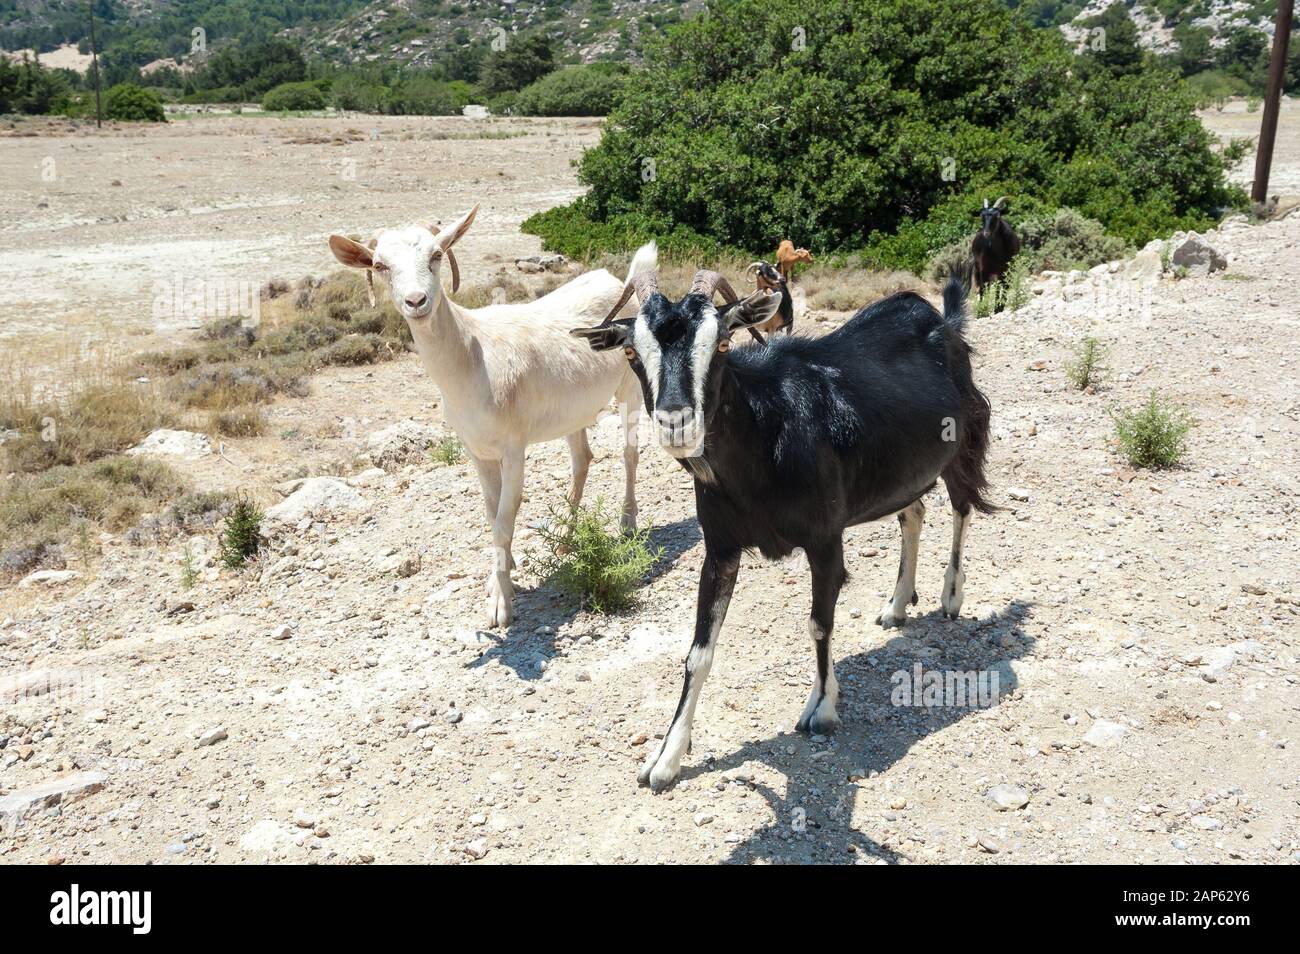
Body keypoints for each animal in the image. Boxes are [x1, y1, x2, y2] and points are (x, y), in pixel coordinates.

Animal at [328, 207, 651, 628]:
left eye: (436, 254)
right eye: (380, 265)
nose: (416, 301)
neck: (472, 357)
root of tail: (614, 280)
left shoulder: (514, 449)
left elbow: (503, 520)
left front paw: (501, 604)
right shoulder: (477, 451)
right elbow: (492, 513)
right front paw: (502, 573)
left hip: (629, 387)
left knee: (629, 454)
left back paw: (627, 525)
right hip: (572, 411)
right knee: (582, 460)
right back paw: (566, 539)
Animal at [571, 260, 994, 791]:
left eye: (724, 342)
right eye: (630, 350)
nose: (676, 423)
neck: (766, 433)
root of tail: (943, 320)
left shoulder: (825, 539)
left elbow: (819, 623)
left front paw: (822, 708)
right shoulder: (720, 549)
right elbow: (698, 651)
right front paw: (665, 759)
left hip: (963, 435)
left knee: (962, 505)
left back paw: (951, 595)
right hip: (902, 469)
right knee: (912, 513)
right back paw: (897, 605)